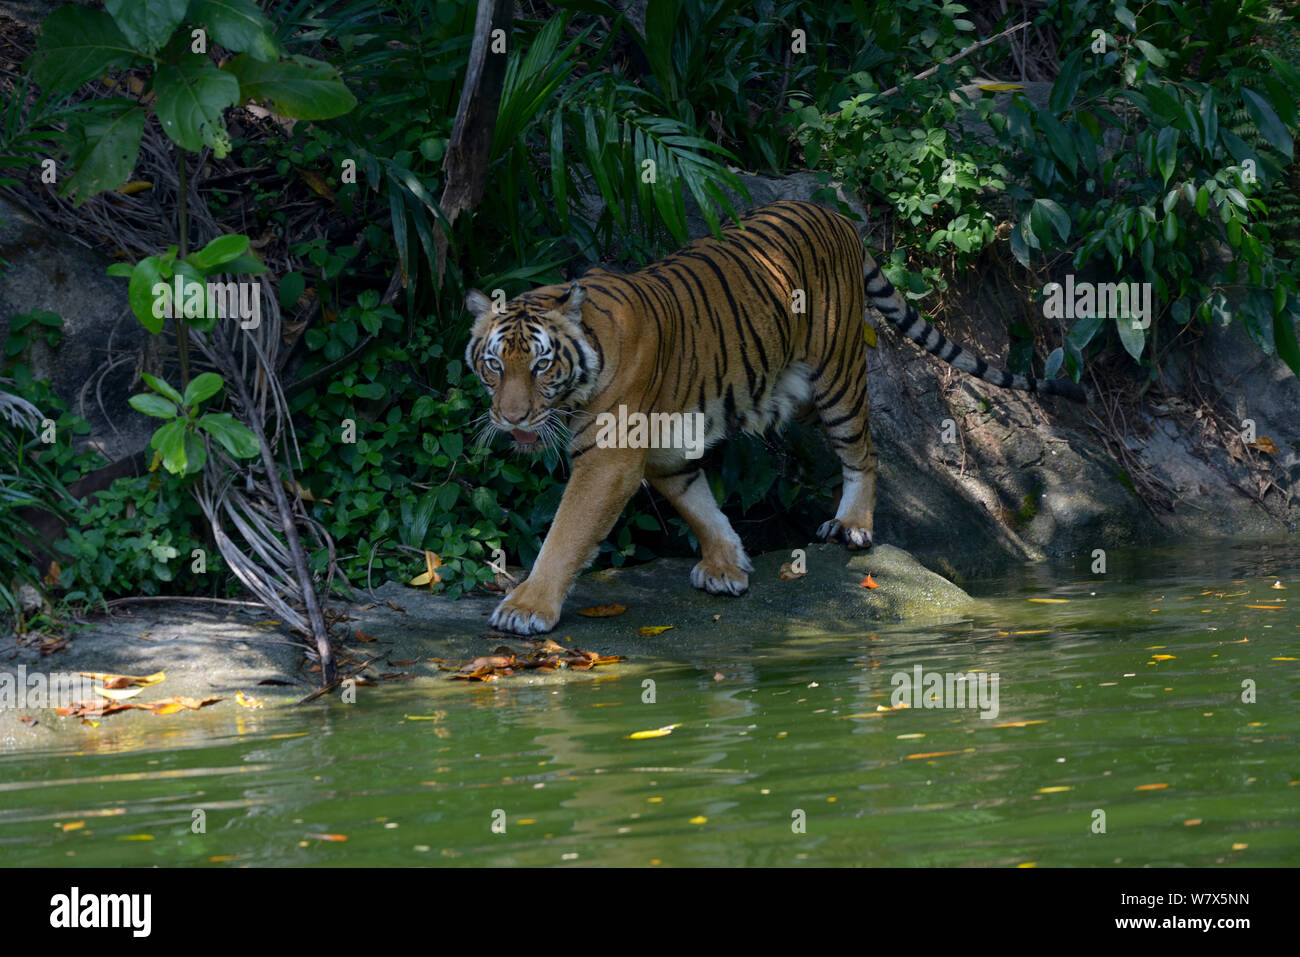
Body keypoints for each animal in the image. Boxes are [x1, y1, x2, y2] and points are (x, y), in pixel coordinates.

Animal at [465, 199, 1085, 635]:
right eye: (494, 365)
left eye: (542, 364)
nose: (510, 417)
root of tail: (834, 214)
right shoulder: (664, 446)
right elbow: (697, 504)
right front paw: (728, 565)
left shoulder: (608, 458)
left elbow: (567, 532)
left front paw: (526, 607)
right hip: (793, 392)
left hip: (835, 376)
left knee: (865, 449)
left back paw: (852, 525)